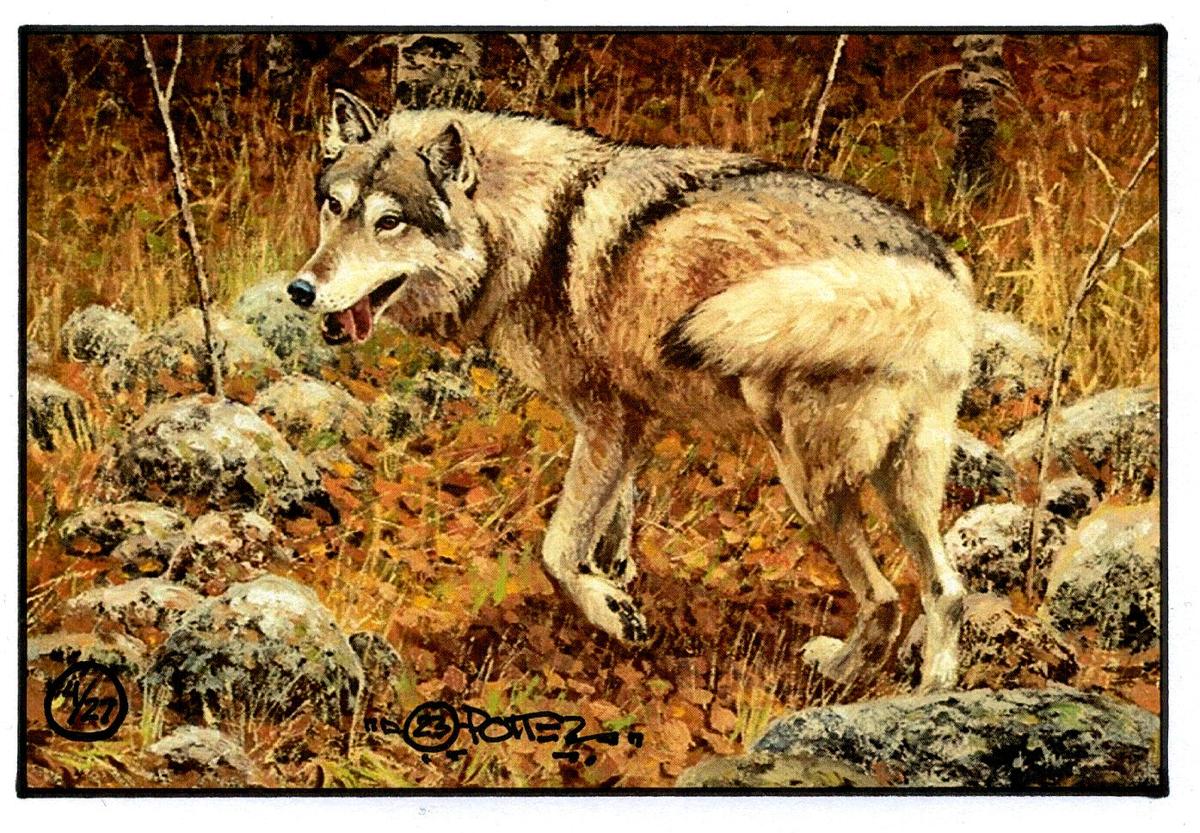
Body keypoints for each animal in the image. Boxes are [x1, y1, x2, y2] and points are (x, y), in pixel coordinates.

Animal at [288, 90, 977, 691]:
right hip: (902, 479)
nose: (300, 290)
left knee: (886, 595)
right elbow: (613, 517)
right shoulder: (629, 424)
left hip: (809, 481)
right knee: (944, 590)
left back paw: (856, 676)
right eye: (333, 207)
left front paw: (614, 615)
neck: (530, 233)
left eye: (389, 222)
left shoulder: (604, 420)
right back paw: (921, 687)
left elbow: (557, 549)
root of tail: (925, 274)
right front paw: (617, 578)